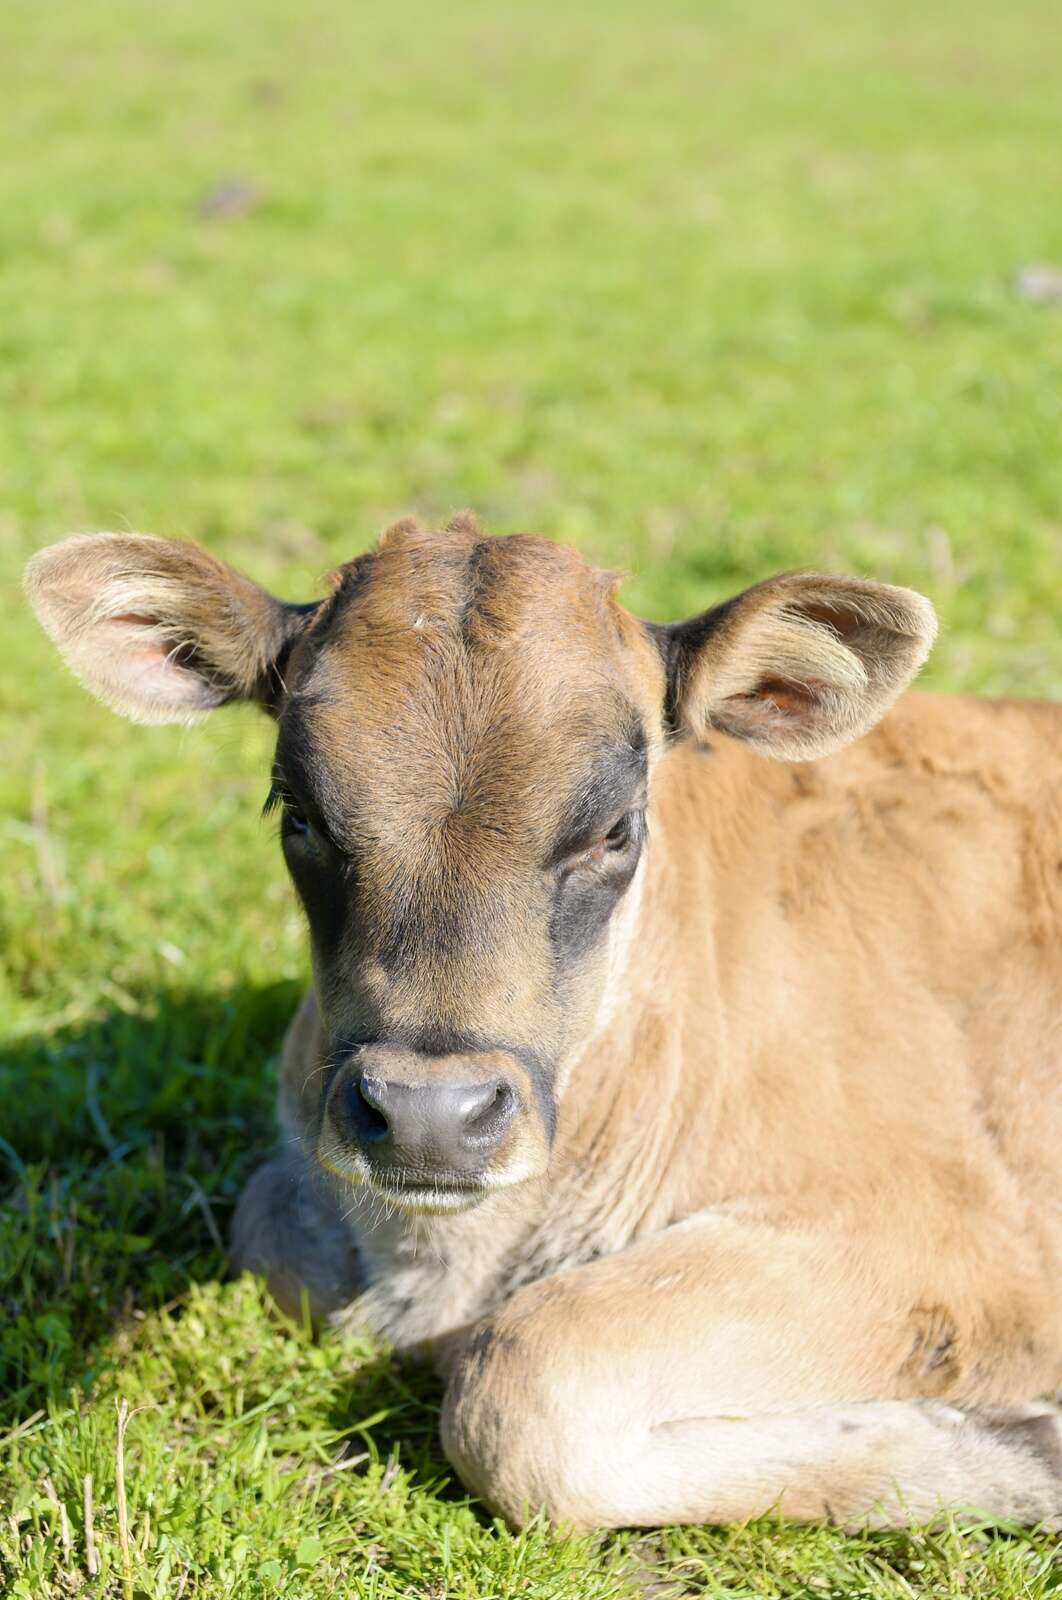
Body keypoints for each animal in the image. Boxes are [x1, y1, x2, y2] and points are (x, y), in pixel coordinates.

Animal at [26, 514, 1062, 1532]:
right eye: (299, 813)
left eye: (615, 828)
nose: (428, 1118)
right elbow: (271, 1230)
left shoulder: (953, 1246)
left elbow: (521, 1386)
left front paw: (1023, 1456)